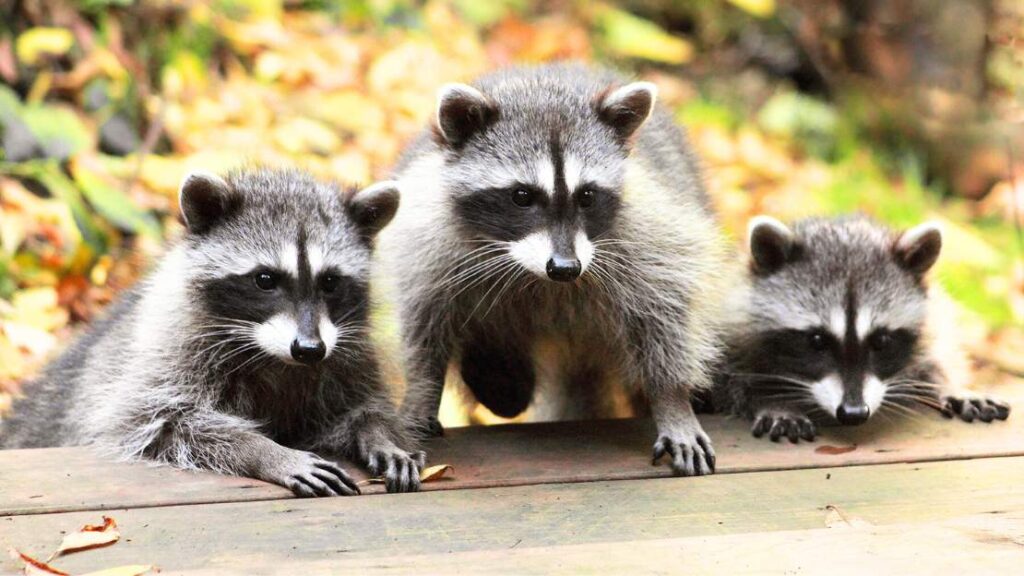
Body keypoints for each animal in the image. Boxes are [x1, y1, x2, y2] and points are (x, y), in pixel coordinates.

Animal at [0, 168, 426, 494]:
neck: (273, 356)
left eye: (331, 282)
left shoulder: (347, 354)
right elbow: (164, 422)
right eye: (265, 280)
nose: (309, 349)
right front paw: (264, 451)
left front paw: (377, 432)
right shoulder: (170, 352)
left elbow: (359, 407)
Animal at [380, 64, 731, 476]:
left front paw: (672, 399)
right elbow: (425, 327)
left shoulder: (649, 234)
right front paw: (422, 392)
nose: (565, 268)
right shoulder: (426, 241)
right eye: (521, 196)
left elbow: (665, 312)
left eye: (587, 196)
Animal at [715, 215, 1010, 442]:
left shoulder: (933, 315)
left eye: (881, 341)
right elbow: (733, 380)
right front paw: (774, 401)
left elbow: (935, 353)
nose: (853, 413)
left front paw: (952, 383)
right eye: (817, 340)